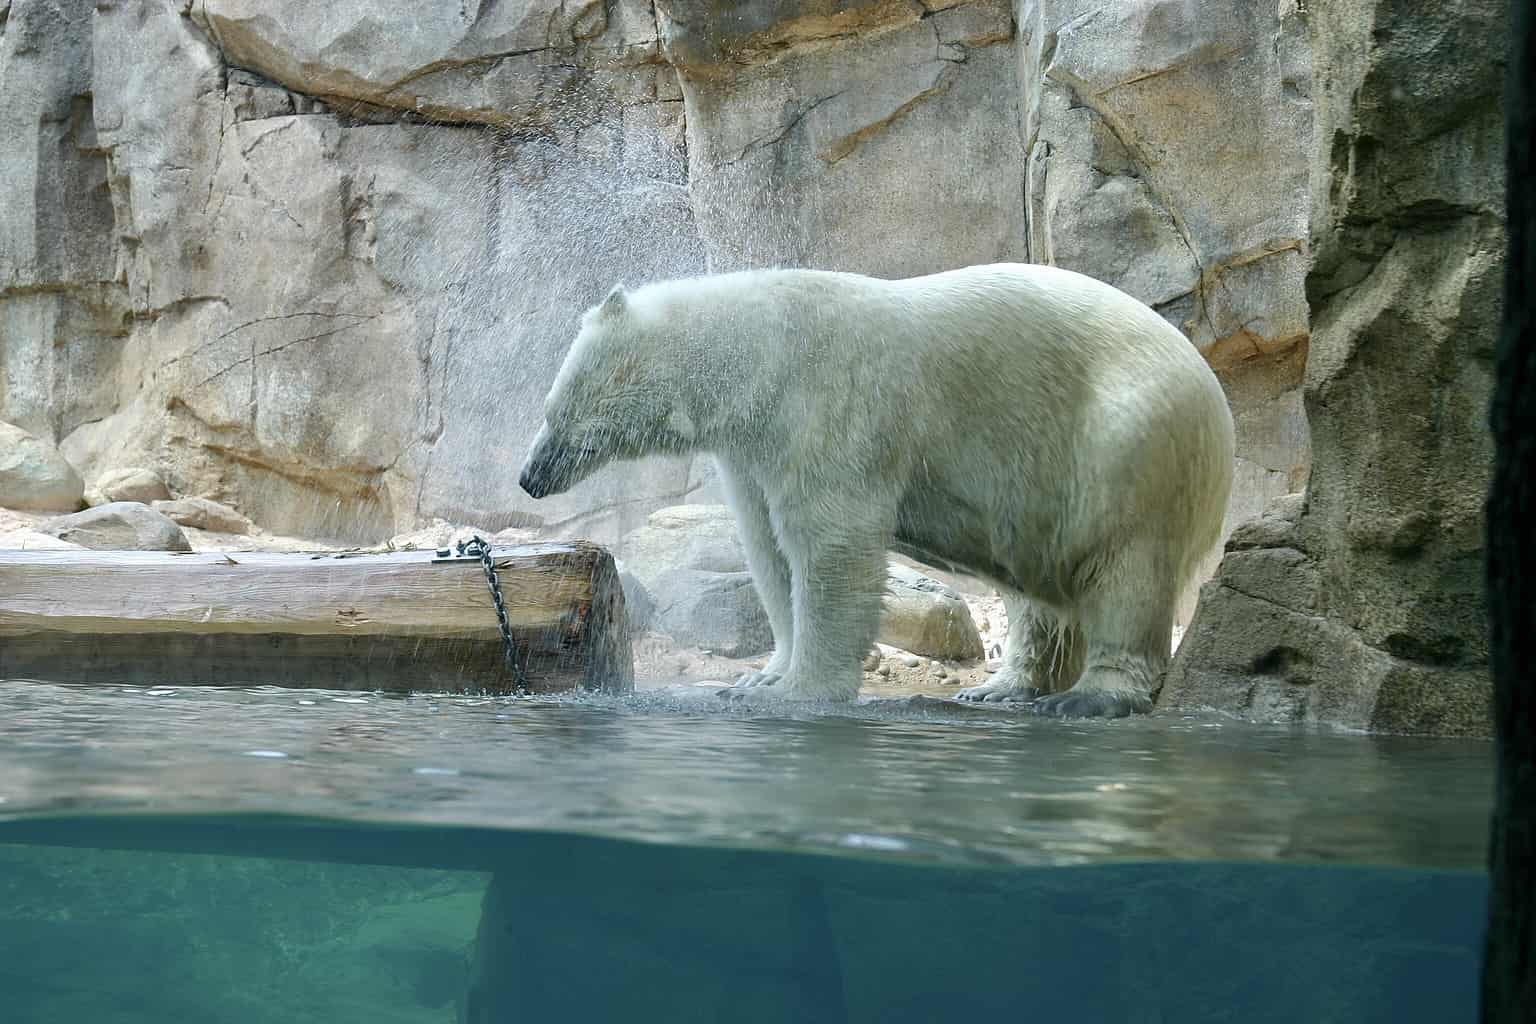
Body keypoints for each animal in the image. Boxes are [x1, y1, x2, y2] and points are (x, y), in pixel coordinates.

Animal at [519, 263, 1235, 718]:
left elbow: (831, 542)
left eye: (555, 411)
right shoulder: (754, 451)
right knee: (1038, 590)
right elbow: (768, 551)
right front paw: (757, 676)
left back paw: (1088, 697)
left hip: (1127, 443)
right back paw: (999, 690)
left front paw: (793, 691)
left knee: (1126, 569)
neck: (757, 352)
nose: (529, 477)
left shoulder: (831, 402)